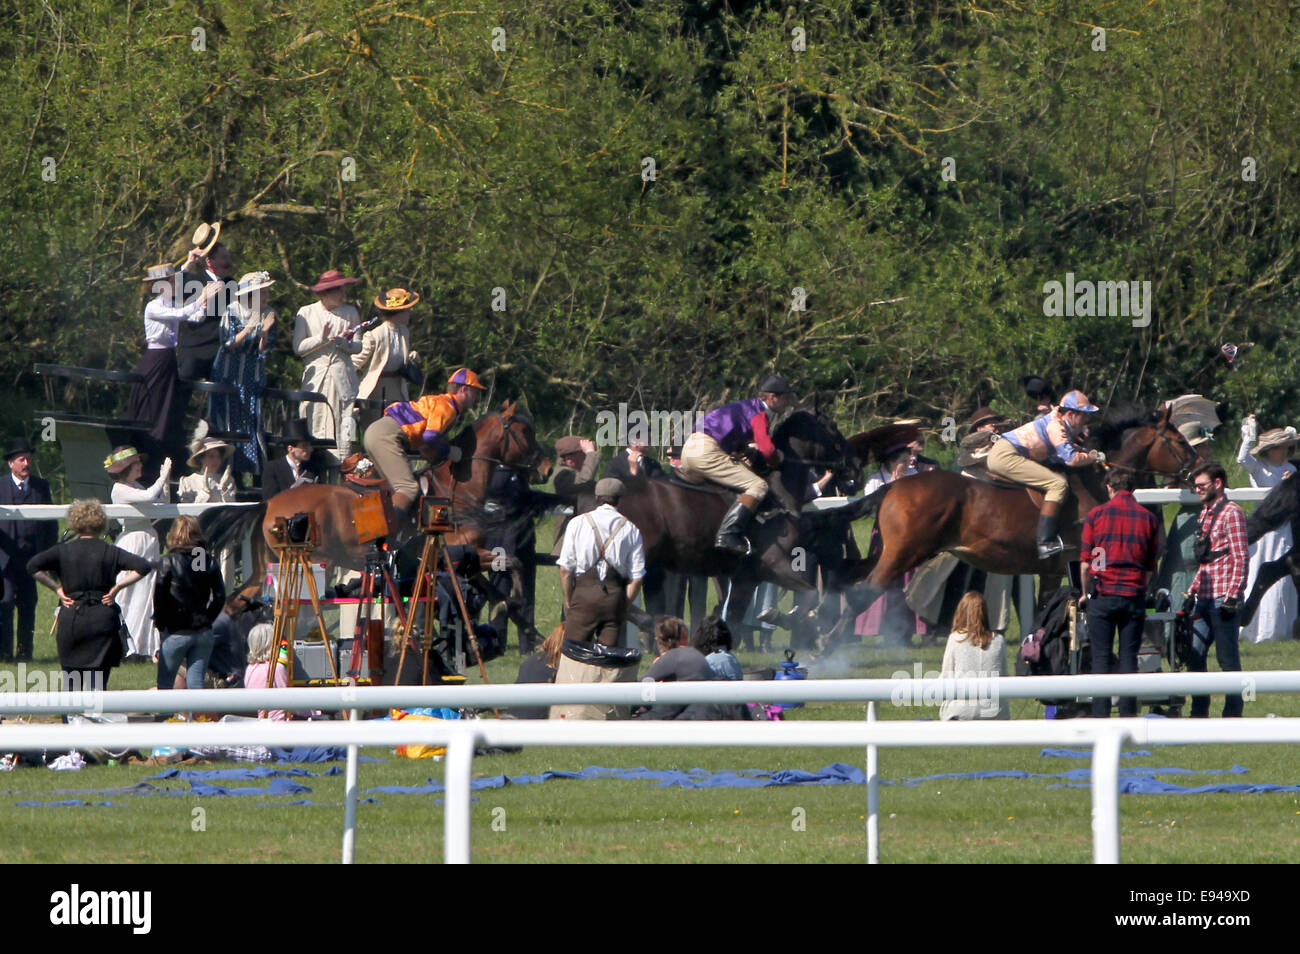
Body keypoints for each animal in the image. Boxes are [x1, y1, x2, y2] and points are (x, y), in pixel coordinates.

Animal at [834, 405, 1200, 637]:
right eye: (1181, 442)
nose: (1201, 471)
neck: (1096, 480)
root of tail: (895, 485)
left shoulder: (1054, 570)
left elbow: (1047, 611)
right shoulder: (1072, 563)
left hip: (890, 552)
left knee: (852, 582)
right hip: (903, 555)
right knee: (864, 593)